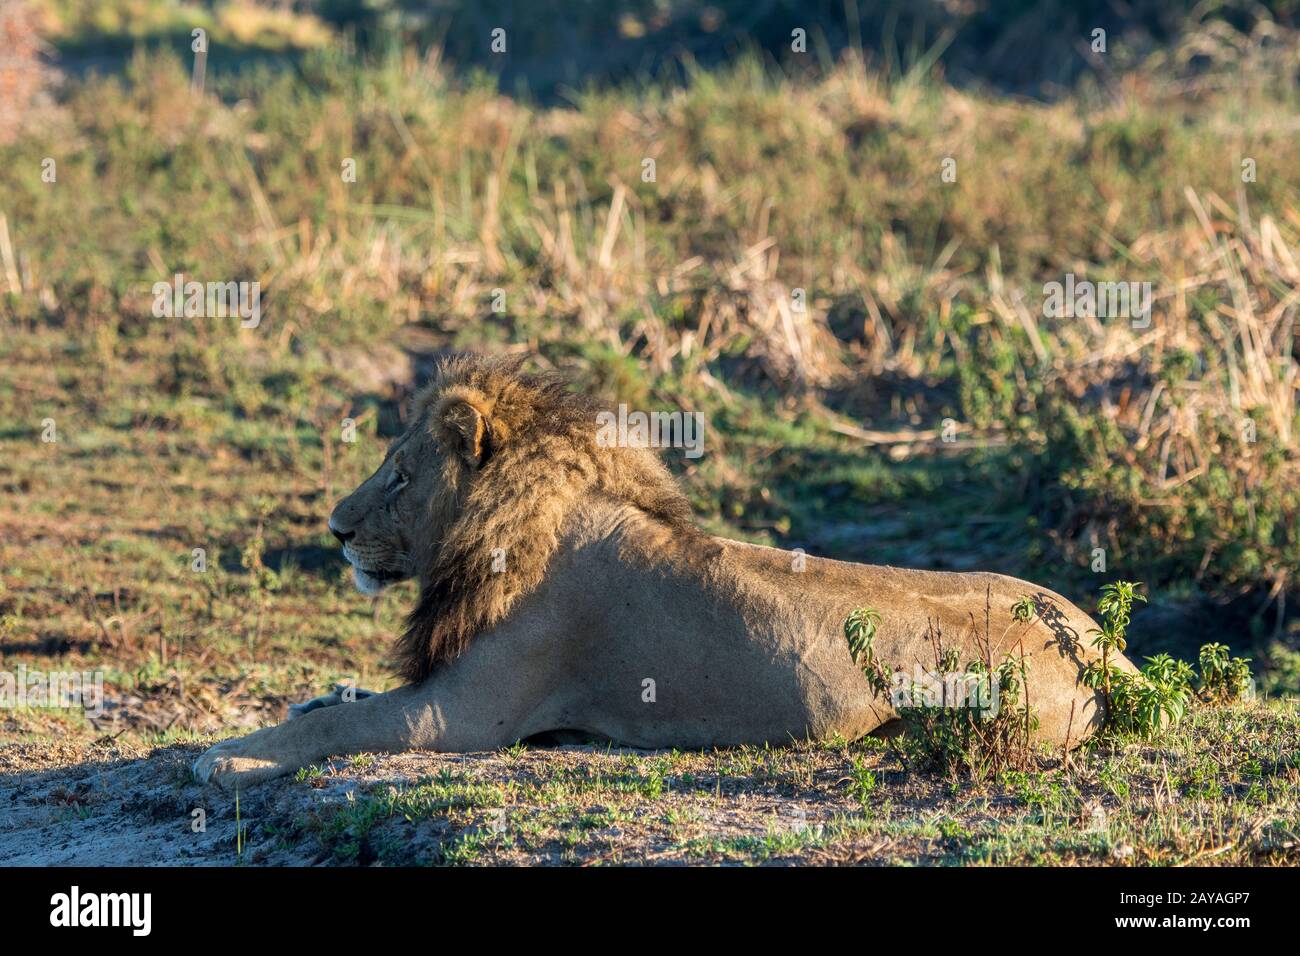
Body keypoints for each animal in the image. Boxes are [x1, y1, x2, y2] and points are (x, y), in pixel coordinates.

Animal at [193, 353, 1134, 789]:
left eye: (399, 474)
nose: (336, 529)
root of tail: (1106, 646)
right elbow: (332, 706)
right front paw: (282, 715)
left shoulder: (463, 714)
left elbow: (339, 727)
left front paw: (226, 758)